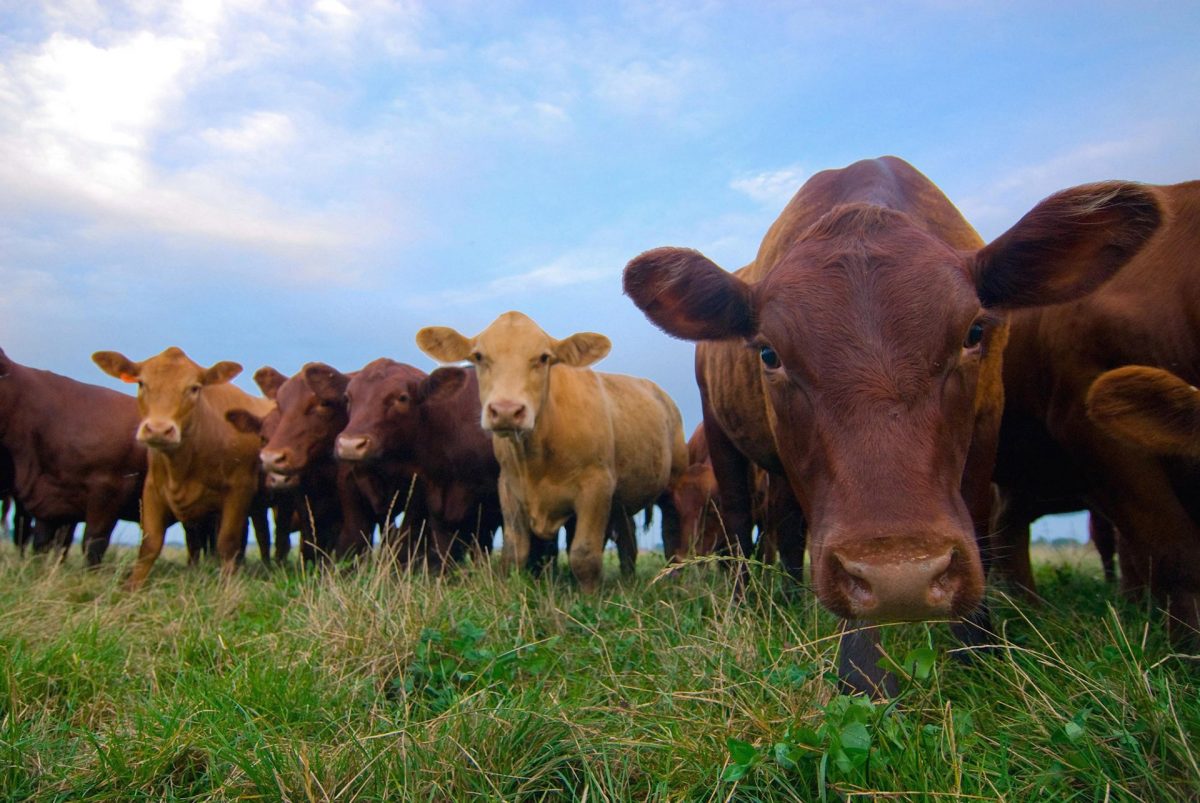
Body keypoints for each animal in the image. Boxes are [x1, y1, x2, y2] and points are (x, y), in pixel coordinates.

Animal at [93, 347, 274, 589]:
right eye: (141, 383)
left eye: (194, 388)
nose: (159, 429)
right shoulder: (152, 489)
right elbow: (150, 544)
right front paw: (132, 586)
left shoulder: (240, 489)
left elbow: (227, 542)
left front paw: (227, 585)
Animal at [416, 310, 687, 592]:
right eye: (479, 356)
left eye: (543, 357)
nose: (506, 410)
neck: (536, 456)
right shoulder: (508, 487)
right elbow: (514, 552)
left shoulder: (596, 485)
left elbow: (584, 554)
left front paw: (590, 597)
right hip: (622, 499)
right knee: (628, 538)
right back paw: (628, 580)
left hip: (675, 479)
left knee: (671, 530)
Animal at [623, 156, 1161, 695]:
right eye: (769, 353)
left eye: (974, 332)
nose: (901, 578)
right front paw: (862, 673)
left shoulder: (987, 420)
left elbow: (977, 520)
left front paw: (976, 648)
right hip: (722, 436)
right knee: (740, 526)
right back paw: (748, 605)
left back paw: (793, 598)